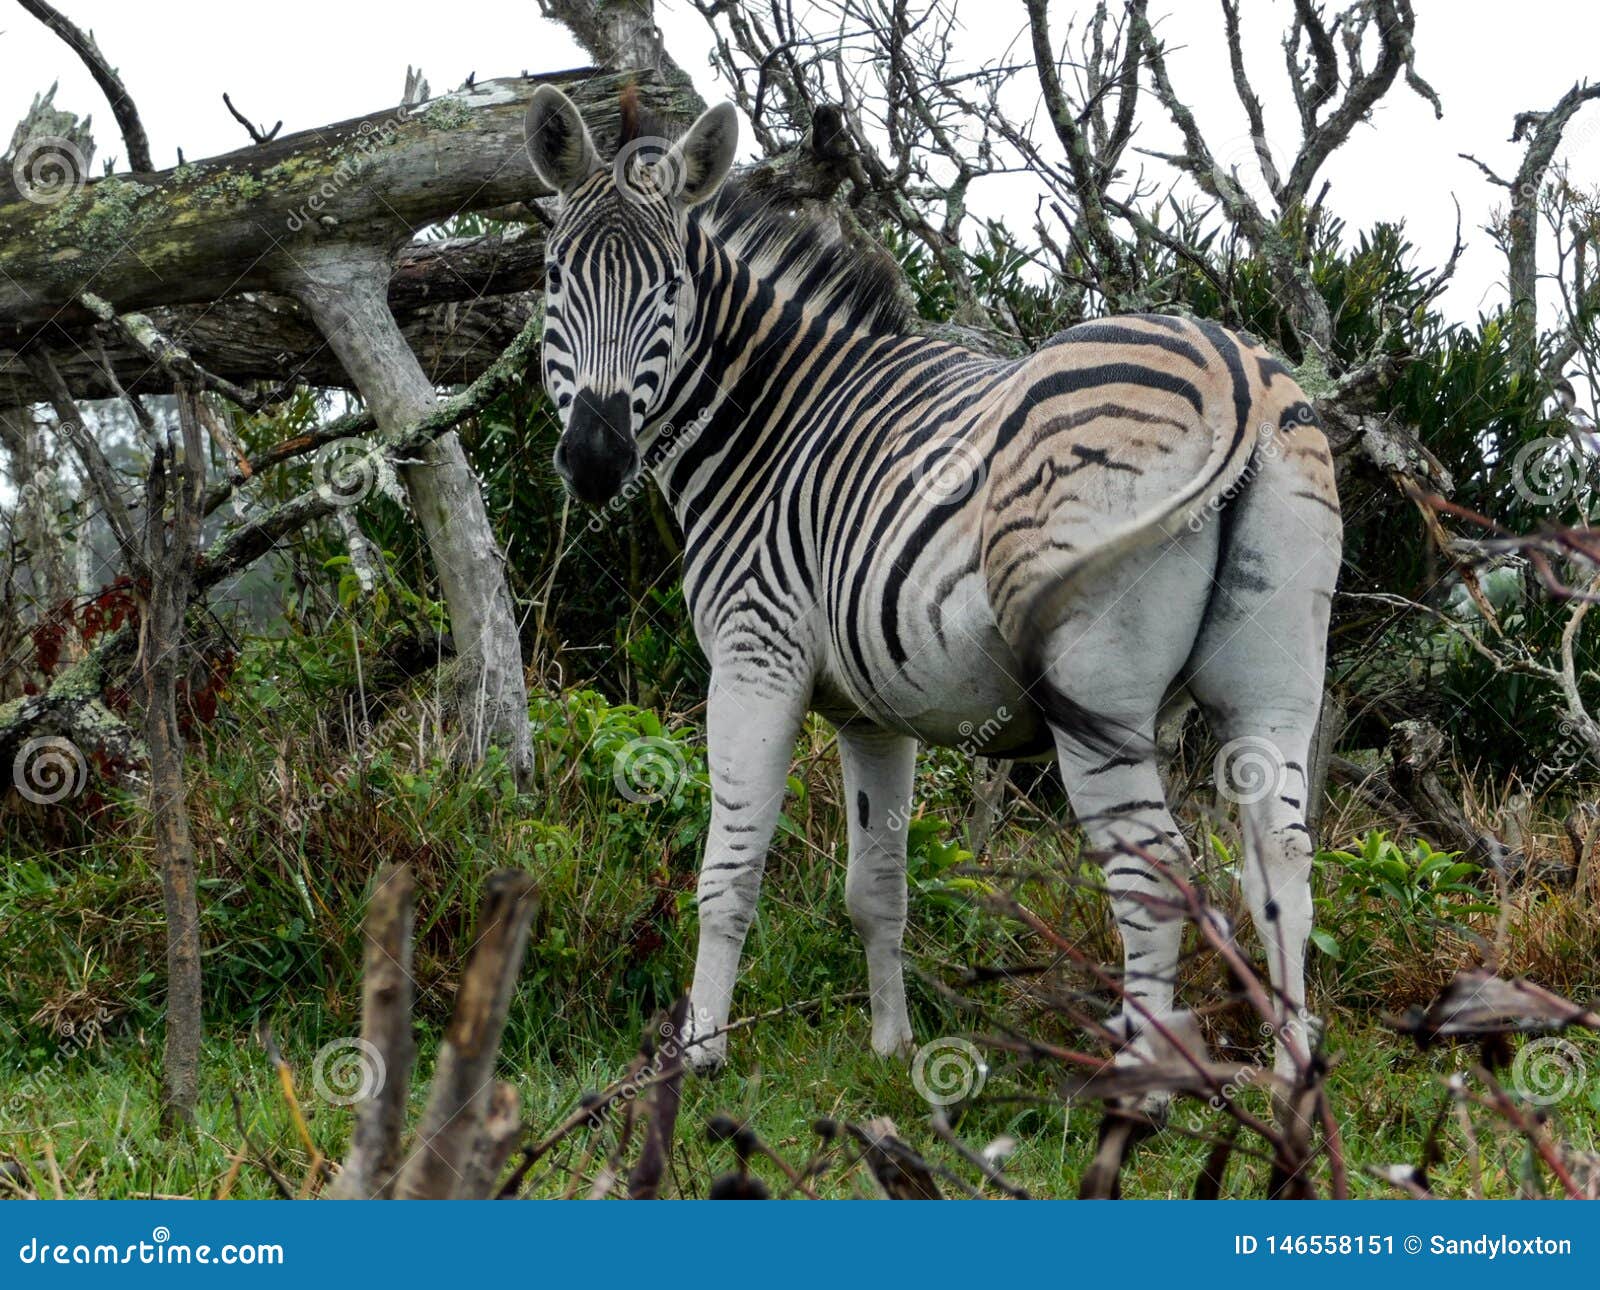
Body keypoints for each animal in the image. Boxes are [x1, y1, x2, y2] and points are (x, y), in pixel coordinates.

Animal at [526, 86, 1342, 1083]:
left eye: (671, 289)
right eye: (556, 279)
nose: (596, 460)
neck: (771, 426)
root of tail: (1238, 373)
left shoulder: (757, 653)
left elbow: (729, 871)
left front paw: (701, 1052)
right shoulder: (869, 710)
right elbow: (876, 884)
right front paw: (894, 1049)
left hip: (1100, 690)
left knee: (1154, 871)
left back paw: (1139, 1079)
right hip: (1276, 683)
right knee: (1281, 857)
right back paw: (1290, 1076)